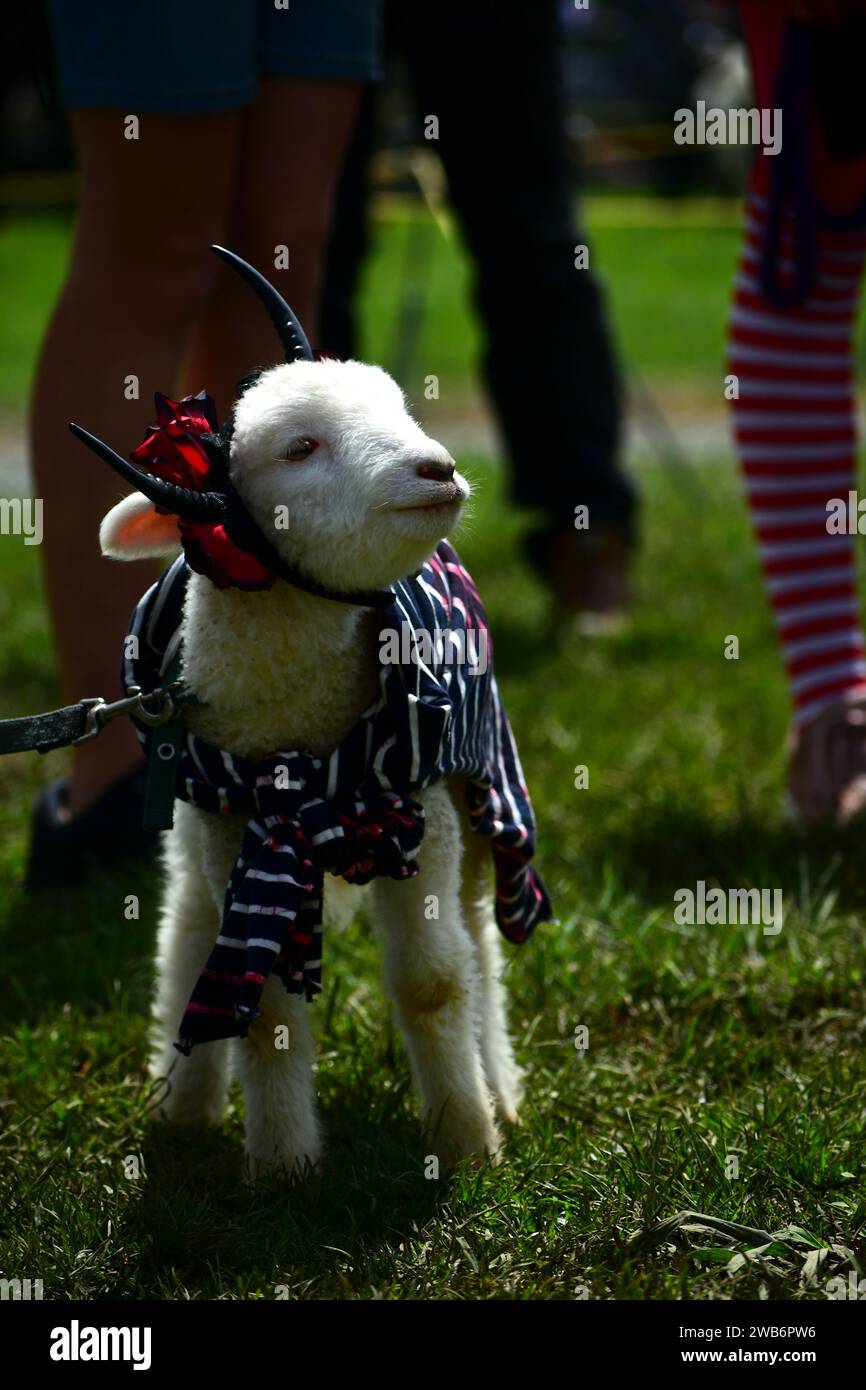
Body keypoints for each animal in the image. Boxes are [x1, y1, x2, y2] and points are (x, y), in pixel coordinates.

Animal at [76, 248, 550, 1179]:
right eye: (299, 448)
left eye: (397, 404)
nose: (438, 469)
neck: (301, 737)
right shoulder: (243, 827)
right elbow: (260, 1009)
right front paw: (282, 1168)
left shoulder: (424, 812)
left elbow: (435, 981)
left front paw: (464, 1142)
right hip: (193, 828)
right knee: (185, 935)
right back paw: (183, 1108)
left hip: (482, 803)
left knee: (480, 946)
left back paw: (502, 1088)